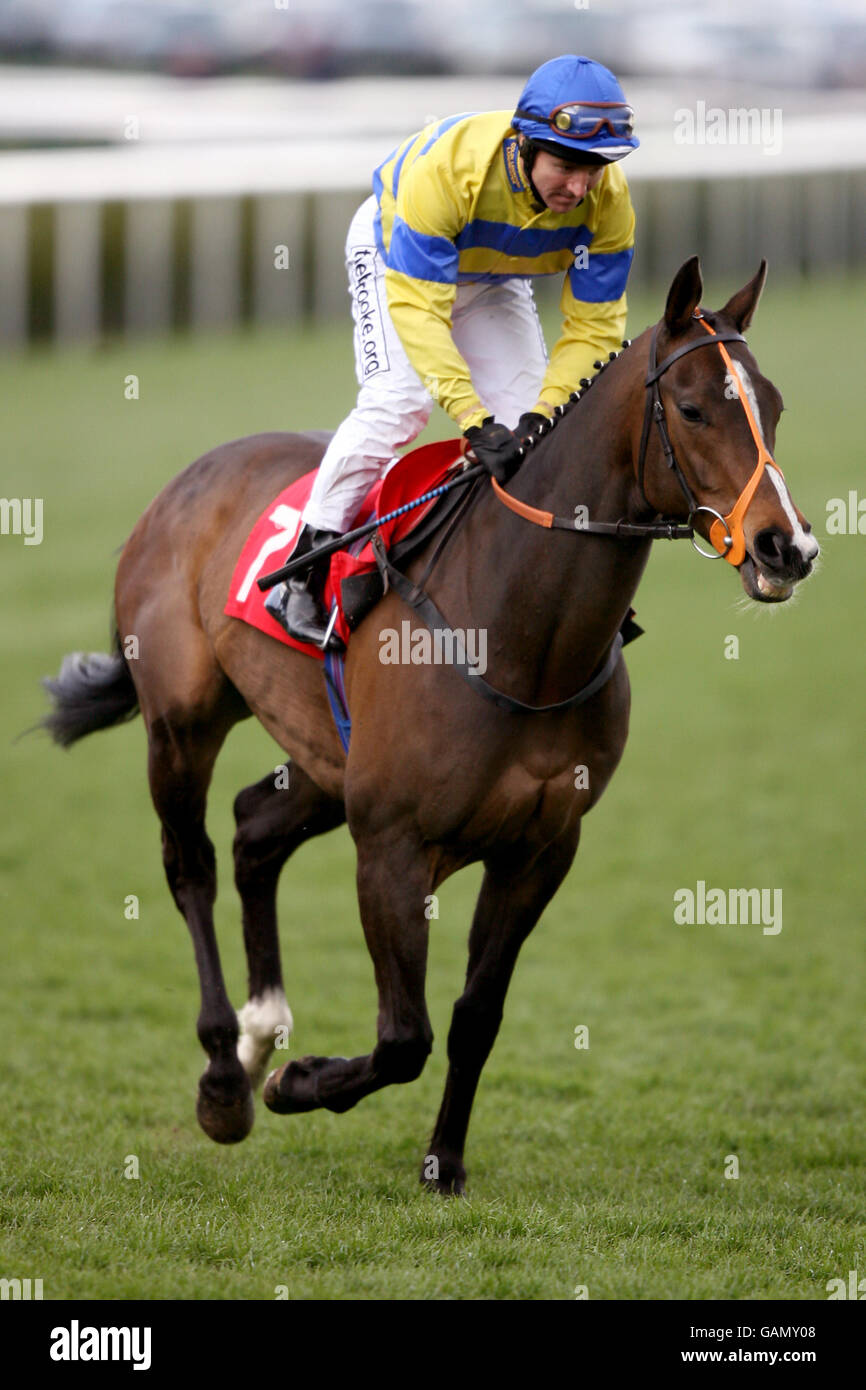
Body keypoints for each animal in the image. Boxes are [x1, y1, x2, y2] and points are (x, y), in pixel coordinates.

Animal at [40, 256, 818, 1196]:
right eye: (697, 408)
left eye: (773, 405)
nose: (788, 547)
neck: (522, 636)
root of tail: (190, 478)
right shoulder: (392, 844)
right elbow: (404, 1036)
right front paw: (297, 1083)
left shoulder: (540, 848)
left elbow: (476, 1014)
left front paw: (442, 1160)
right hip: (182, 723)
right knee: (190, 864)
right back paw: (227, 1074)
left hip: (327, 759)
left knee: (254, 829)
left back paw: (262, 1027)